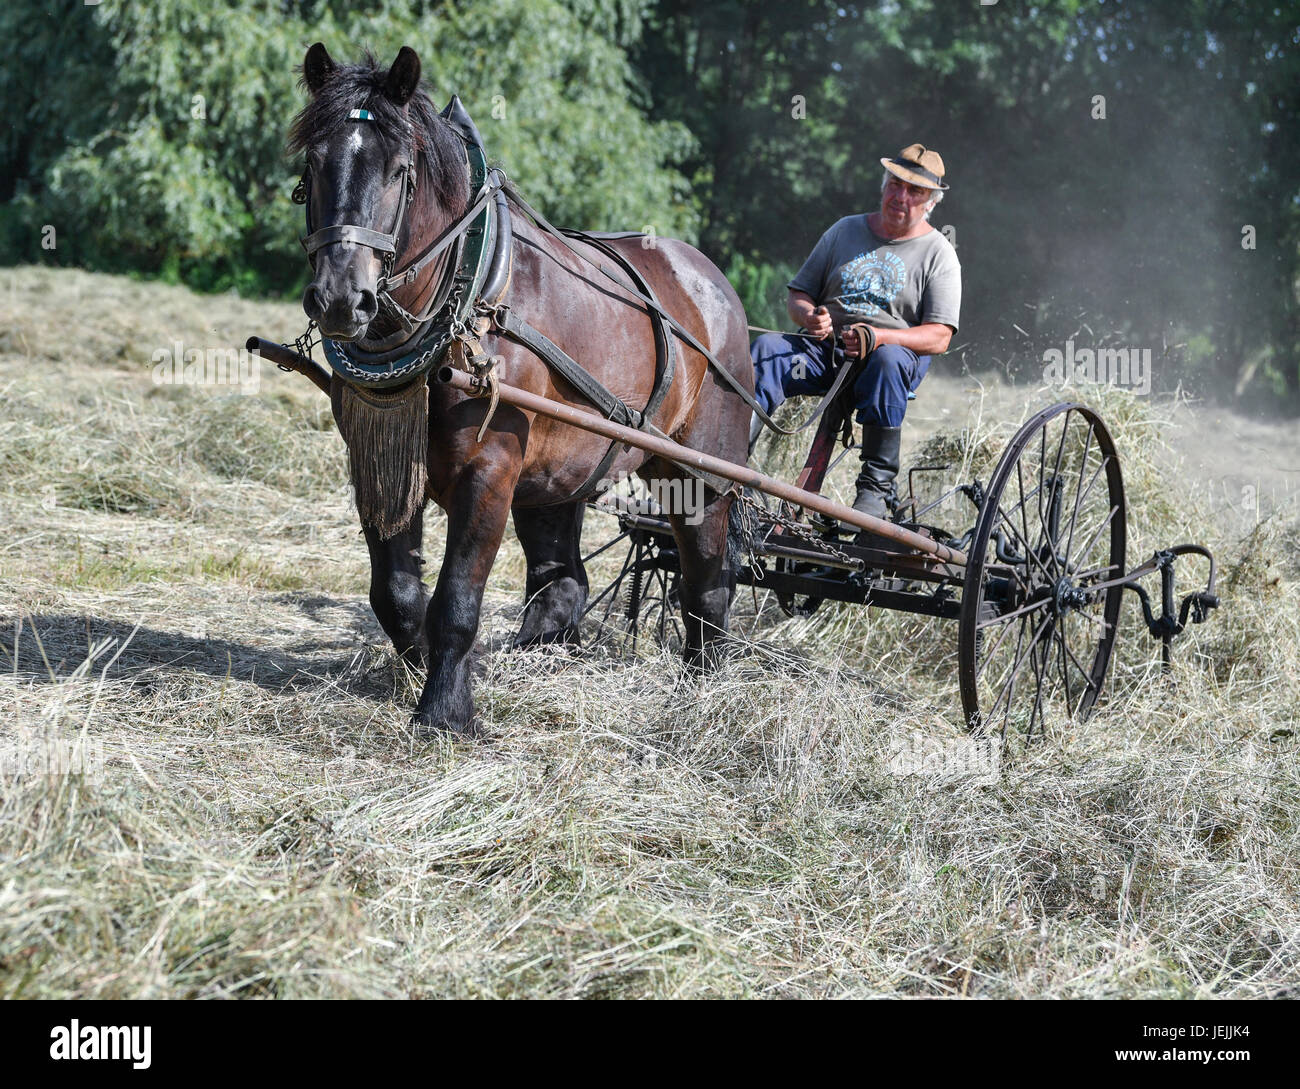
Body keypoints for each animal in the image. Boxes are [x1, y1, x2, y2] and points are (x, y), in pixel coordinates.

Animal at [289, 44, 753, 734]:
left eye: (399, 170)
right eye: (315, 164)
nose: (344, 300)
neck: (465, 303)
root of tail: (712, 284)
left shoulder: (491, 468)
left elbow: (456, 597)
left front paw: (445, 712)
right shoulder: (380, 457)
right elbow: (396, 592)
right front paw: (423, 666)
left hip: (700, 469)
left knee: (706, 578)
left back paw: (704, 686)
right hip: (561, 470)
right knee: (564, 580)